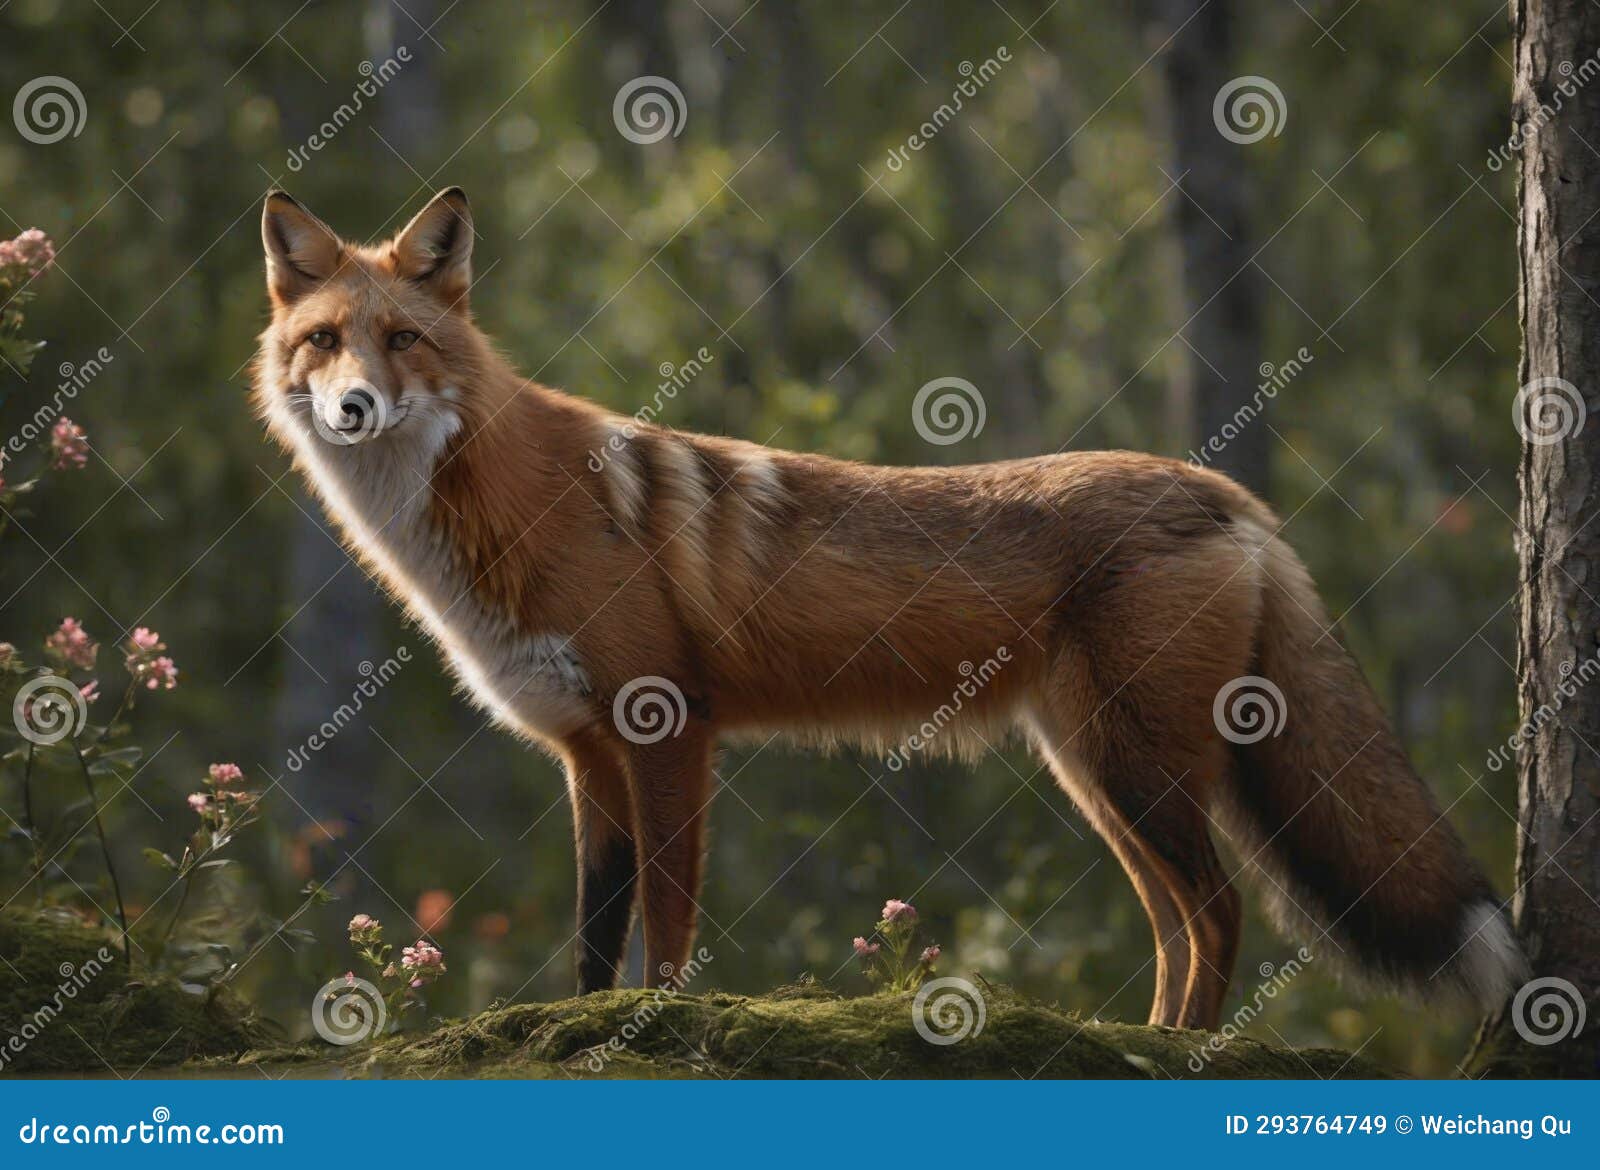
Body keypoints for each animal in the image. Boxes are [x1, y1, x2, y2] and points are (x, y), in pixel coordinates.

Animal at [253, 187, 1526, 1031]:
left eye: (403, 339)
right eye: (321, 342)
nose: (355, 405)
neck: (498, 511)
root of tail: (1228, 495)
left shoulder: (666, 729)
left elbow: (664, 928)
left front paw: (653, 1033)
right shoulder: (585, 754)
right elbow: (591, 942)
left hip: (1137, 768)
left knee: (1215, 911)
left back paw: (1184, 1055)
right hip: (1098, 771)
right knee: (1181, 924)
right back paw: (1150, 1044)